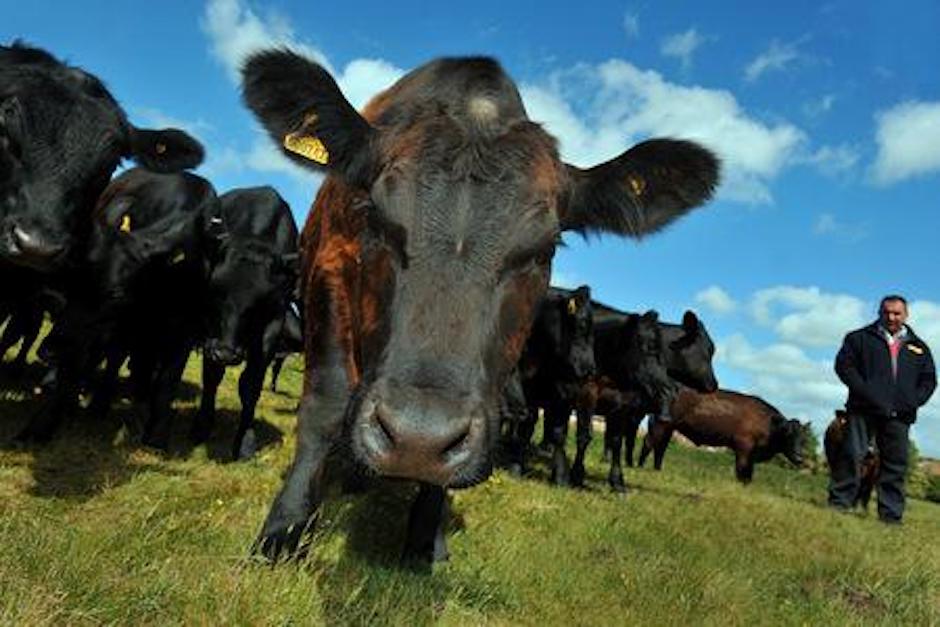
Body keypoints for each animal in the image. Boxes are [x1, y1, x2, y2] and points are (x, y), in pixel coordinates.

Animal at [17, 168, 220, 448]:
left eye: (116, 293)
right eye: (75, 282)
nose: (48, 350)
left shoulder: (185, 326)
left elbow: (167, 380)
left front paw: (156, 435)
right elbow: (83, 362)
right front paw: (42, 424)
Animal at [191, 186, 299, 461]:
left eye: (261, 301)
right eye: (217, 291)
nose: (226, 353)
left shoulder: (273, 323)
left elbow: (251, 385)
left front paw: (246, 442)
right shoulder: (211, 331)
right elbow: (212, 376)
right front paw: (202, 425)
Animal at [241, 50, 720, 564]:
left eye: (546, 248)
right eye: (374, 216)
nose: (418, 438)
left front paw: (428, 538)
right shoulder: (329, 269)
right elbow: (327, 402)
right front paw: (284, 530)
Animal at [639, 389, 808, 483]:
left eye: (803, 440)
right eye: (787, 433)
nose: (799, 458)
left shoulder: (752, 454)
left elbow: (749, 472)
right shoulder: (743, 447)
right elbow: (742, 469)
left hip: (668, 427)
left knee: (660, 448)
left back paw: (657, 470)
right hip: (661, 425)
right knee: (649, 443)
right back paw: (639, 467)